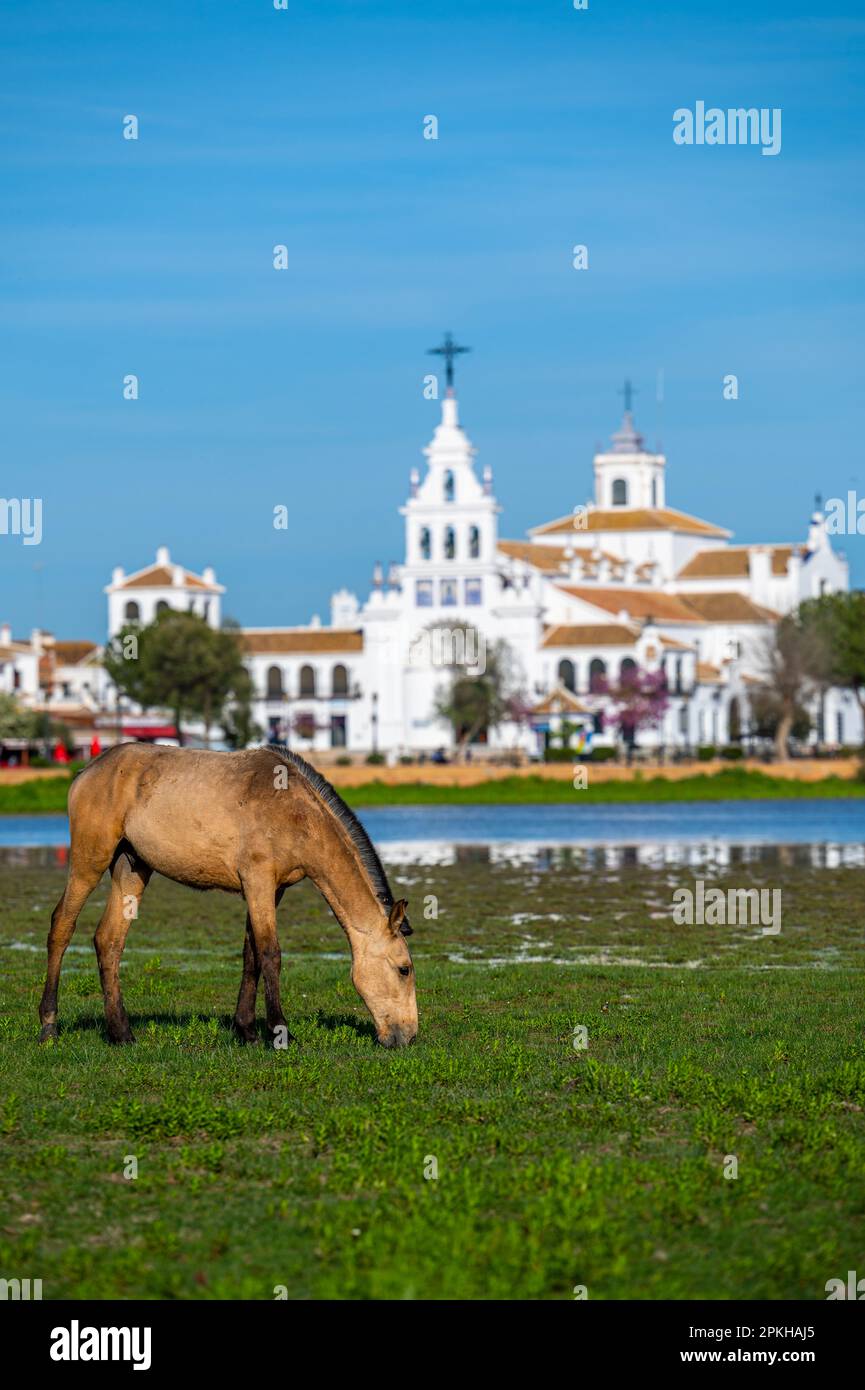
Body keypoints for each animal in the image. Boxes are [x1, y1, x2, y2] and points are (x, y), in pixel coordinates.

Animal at [38, 744, 417, 1048]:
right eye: (404, 969)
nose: (409, 1036)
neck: (292, 809)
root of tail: (89, 770)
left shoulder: (271, 890)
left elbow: (251, 955)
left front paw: (246, 1030)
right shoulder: (258, 881)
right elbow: (270, 954)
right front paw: (280, 1032)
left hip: (131, 868)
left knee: (109, 941)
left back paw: (121, 1033)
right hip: (90, 860)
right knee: (62, 926)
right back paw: (49, 1026)